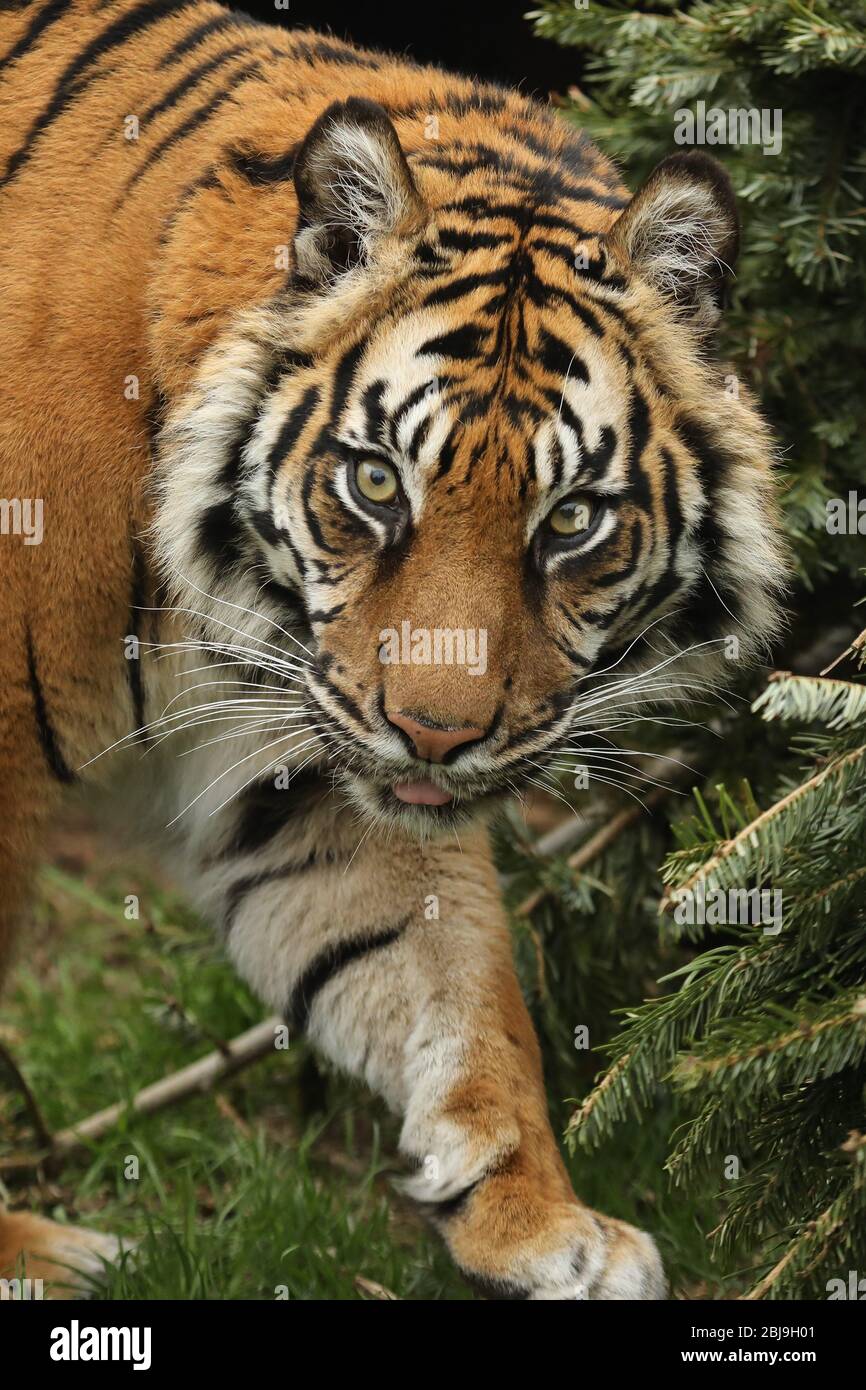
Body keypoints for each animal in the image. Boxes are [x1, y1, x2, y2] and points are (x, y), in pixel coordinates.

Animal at [0, 0, 787, 1300]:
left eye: (570, 520)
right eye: (375, 484)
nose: (435, 732)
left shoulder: (302, 754)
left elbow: (447, 978)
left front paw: (541, 1221)